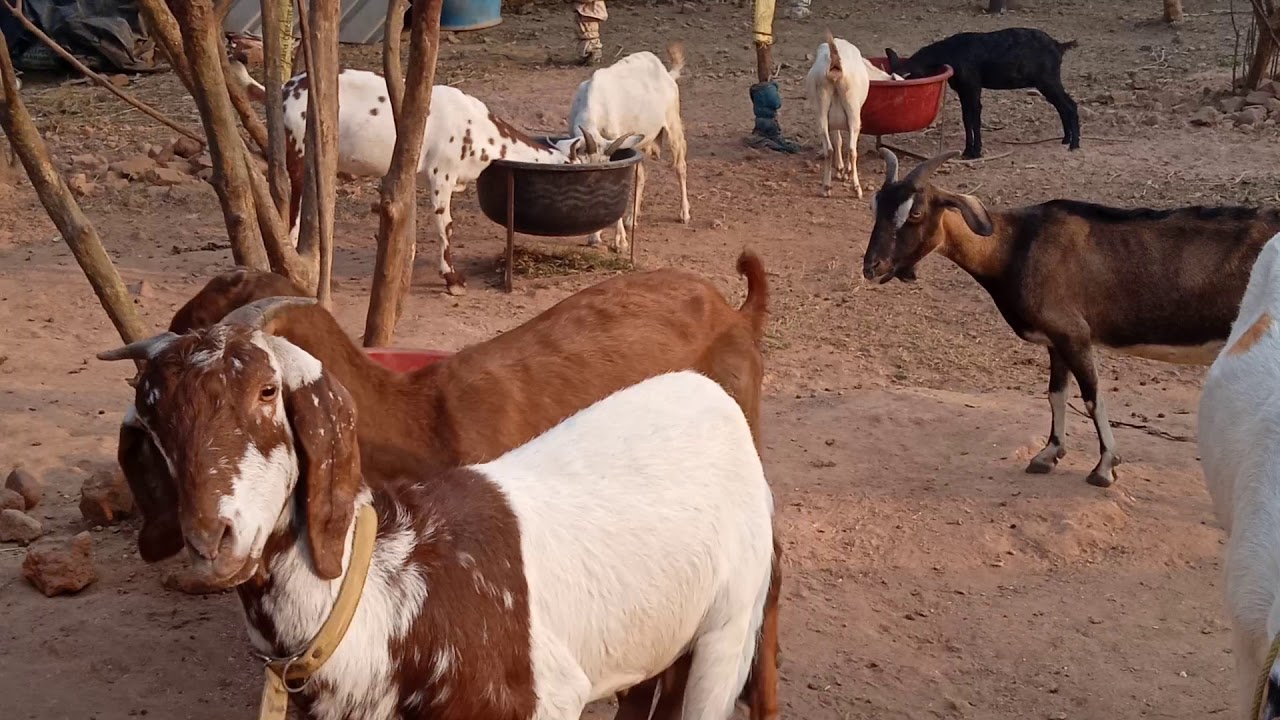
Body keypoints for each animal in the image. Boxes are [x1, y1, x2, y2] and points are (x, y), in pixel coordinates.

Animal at [226, 53, 639, 296]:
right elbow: (446, 225)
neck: (481, 129)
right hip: (298, 149)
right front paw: (451, 278)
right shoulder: (441, 173)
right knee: (291, 200)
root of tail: (283, 89)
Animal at [552, 42, 689, 254]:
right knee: (642, 176)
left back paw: (684, 214)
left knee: (680, 166)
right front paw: (594, 236)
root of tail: (667, 74)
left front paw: (620, 242)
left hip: (673, 124)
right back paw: (632, 219)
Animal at [804, 32, 879, 199]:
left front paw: (839, 169)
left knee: (829, 149)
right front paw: (844, 172)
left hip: (821, 109)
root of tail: (835, 63)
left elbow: (837, 140)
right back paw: (856, 188)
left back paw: (826, 187)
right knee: (852, 150)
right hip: (853, 110)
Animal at [863, 149, 1280, 487]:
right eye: (876, 208)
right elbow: (1056, 394)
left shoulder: (1074, 333)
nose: (872, 267)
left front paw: (1104, 467)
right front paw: (1048, 455)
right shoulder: (1055, 340)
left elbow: (1092, 397)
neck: (1016, 246)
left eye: (916, 212)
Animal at [886, 27, 1080, 159]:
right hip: (1046, 82)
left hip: (1048, 79)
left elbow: (975, 117)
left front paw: (976, 151)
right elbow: (966, 118)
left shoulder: (973, 86)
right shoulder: (962, 89)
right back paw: (1066, 139)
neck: (950, 54)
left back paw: (1075, 144)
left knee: (1070, 104)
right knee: (1062, 106)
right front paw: (967, 150)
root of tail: (1059, 46)